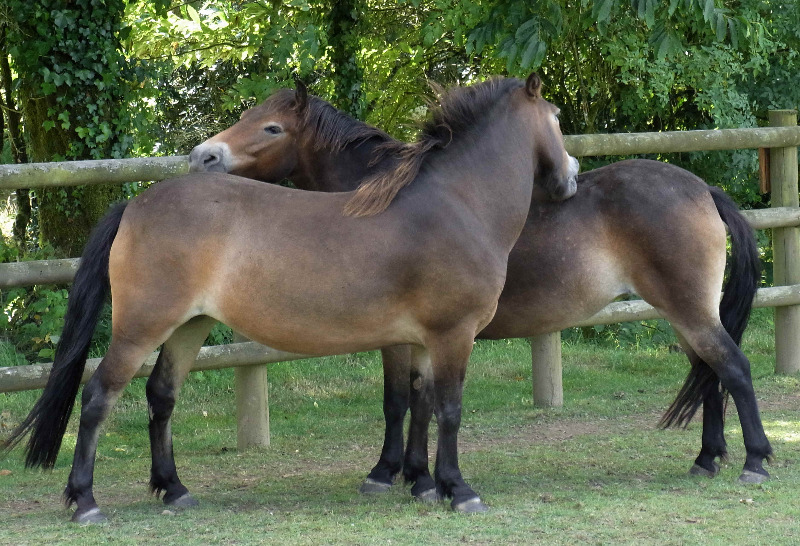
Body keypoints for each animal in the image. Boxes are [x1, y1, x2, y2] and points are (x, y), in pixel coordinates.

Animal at [3, 74, 578, 522]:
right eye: (555, 118)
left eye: (271, 125)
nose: (570, 177)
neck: (457, 204)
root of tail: (137, 204)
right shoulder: (451, 335)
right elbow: (448, 409)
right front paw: (457, 489)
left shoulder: (418, 341)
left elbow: (419, 403)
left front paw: (422, 483)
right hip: (140, 327)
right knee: (99, 396)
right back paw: (84, 501)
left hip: (190, 326)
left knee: (161, 395)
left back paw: (175, 489)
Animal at [188, 81, 773, 500]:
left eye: (270, 127)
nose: (202, 157)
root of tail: (701, 187)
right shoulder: (423, 334)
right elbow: (421, 400)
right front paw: (419, 477)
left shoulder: (402, 337)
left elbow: (401, 402)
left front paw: (392, 474)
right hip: (683, 313)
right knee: (709, 373)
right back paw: (707, 459)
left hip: (689, 310)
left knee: (732, 368)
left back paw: (754, 462)